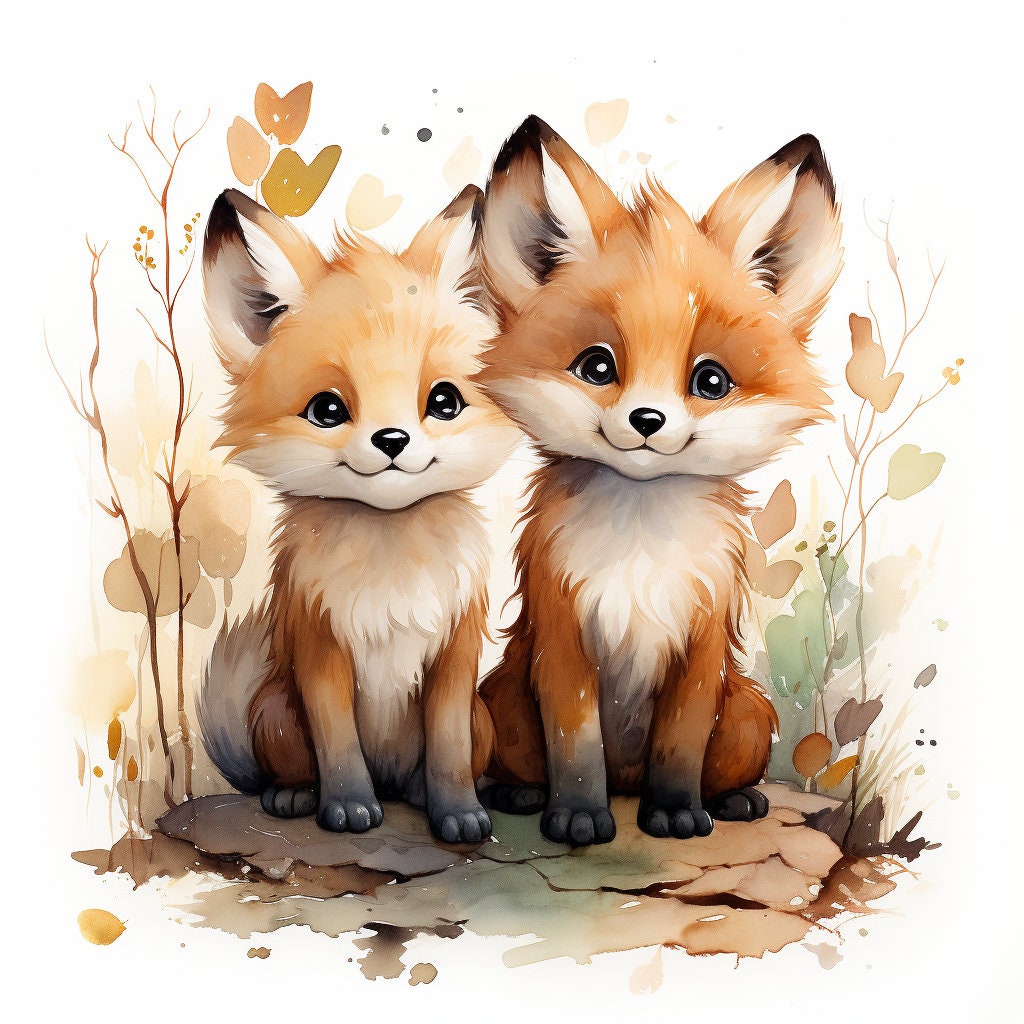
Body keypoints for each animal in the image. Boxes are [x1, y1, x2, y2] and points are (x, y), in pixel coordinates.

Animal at [197, 185, 520, 843]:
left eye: (443, 402)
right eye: (327, 410)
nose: (392, 439)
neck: (390, 562)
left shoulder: (455, 654)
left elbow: (448, 749)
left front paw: (458, 813)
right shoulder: (321, 649)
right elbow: (339, 744)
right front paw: (347, 808)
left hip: (483, 720)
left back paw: (424, 792)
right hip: (276, 713)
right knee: (289, 769)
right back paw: (294, 795)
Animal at [475, 117, 841, 846]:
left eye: (711, 381)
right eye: (597, 366)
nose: (647, 420)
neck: (639, 550)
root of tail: (627, 780)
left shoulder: (700, 643)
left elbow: (681, 742)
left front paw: (674, 814)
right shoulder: (563, 633)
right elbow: (575, 745)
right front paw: (578, 820)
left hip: (749, 711)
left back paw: (734, 801)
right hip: (501, 701)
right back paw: (519, 794)